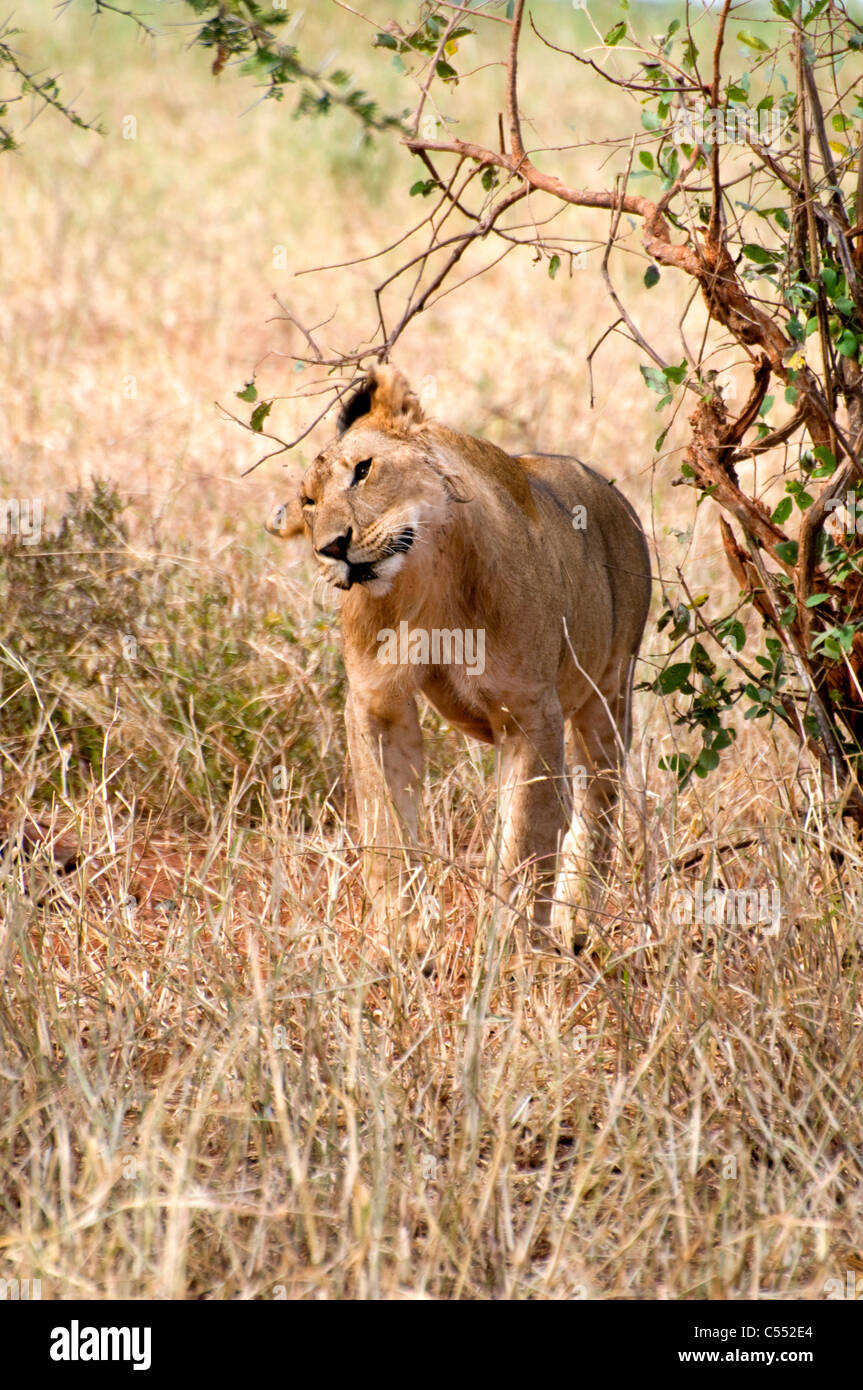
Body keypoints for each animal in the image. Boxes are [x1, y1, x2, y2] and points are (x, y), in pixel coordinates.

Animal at [267, 362, 651, 957]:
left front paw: (510, 951)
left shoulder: (529, 713)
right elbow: (386, 828)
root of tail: (618, 502)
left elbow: (522, 841)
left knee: (596, 803)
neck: (430, 575)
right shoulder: (376, 704)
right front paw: (400, 941)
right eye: (310, 502)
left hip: (607, 695)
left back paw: (575, 923)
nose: (332, 547)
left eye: (364, 470)